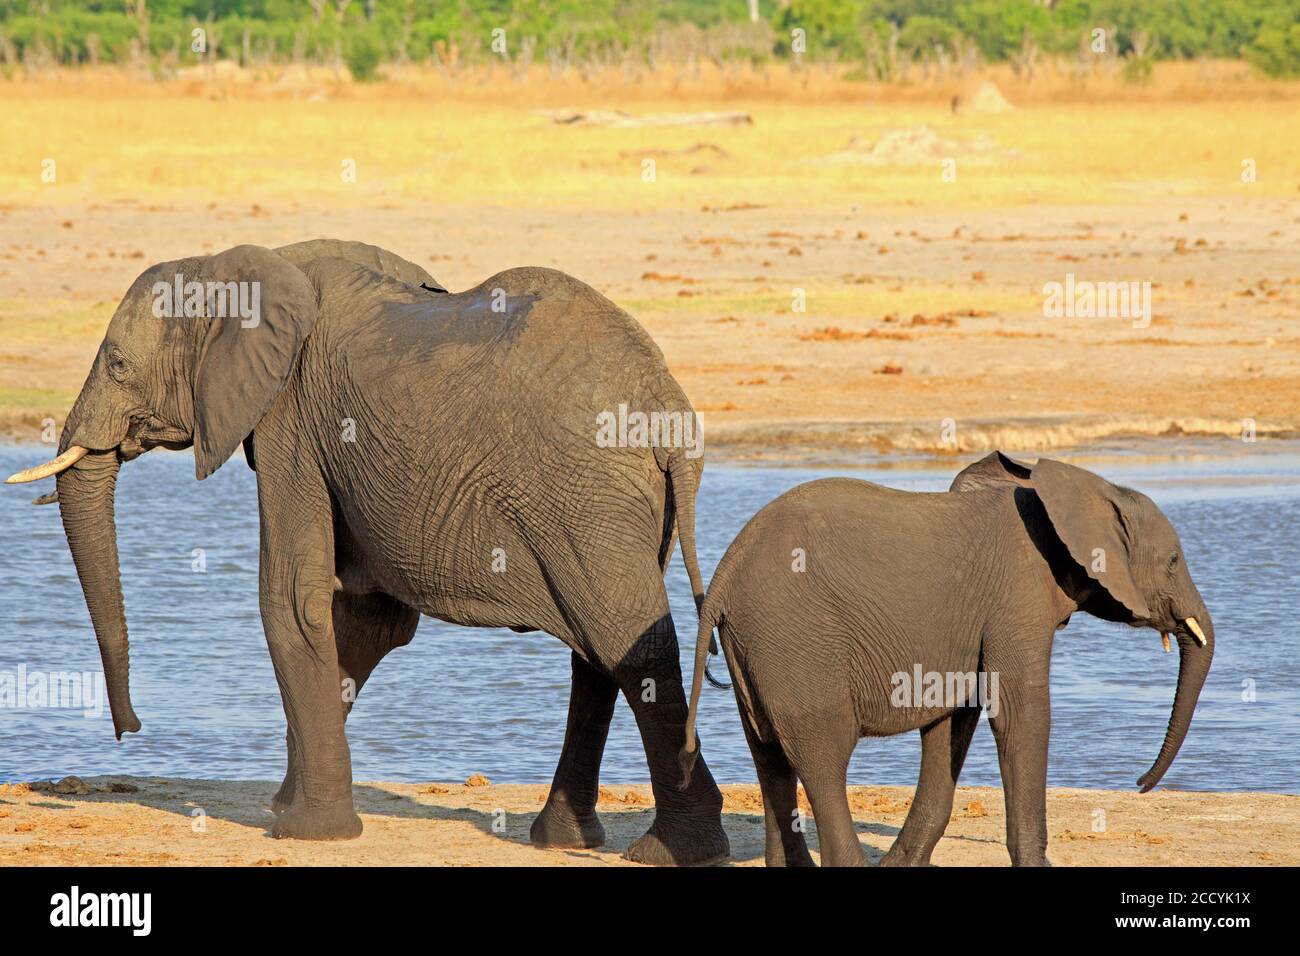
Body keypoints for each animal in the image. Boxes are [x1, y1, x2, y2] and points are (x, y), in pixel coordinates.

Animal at [6, 238, 729, 866]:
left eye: (117, 364)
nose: (129, 729)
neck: (238, 265)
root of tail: (669, 405)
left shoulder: (290, 419)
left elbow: (292, 602)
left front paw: (306, 832)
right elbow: (364, 621)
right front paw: (285, 806)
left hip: (584, 499)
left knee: (628, 644)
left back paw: (676, 852)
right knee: (595, 652)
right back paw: (566, 841)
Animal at [680, 451, 1214, 867]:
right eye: (1173, 562)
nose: (1139, 784)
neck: (1079, 487)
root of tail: (725, 572)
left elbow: (951, 718)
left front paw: (903, 864)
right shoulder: (1017, 596)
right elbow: (1020, 713)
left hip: (756, 644)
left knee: (769, 755)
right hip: (795, 637)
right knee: (822, 753)